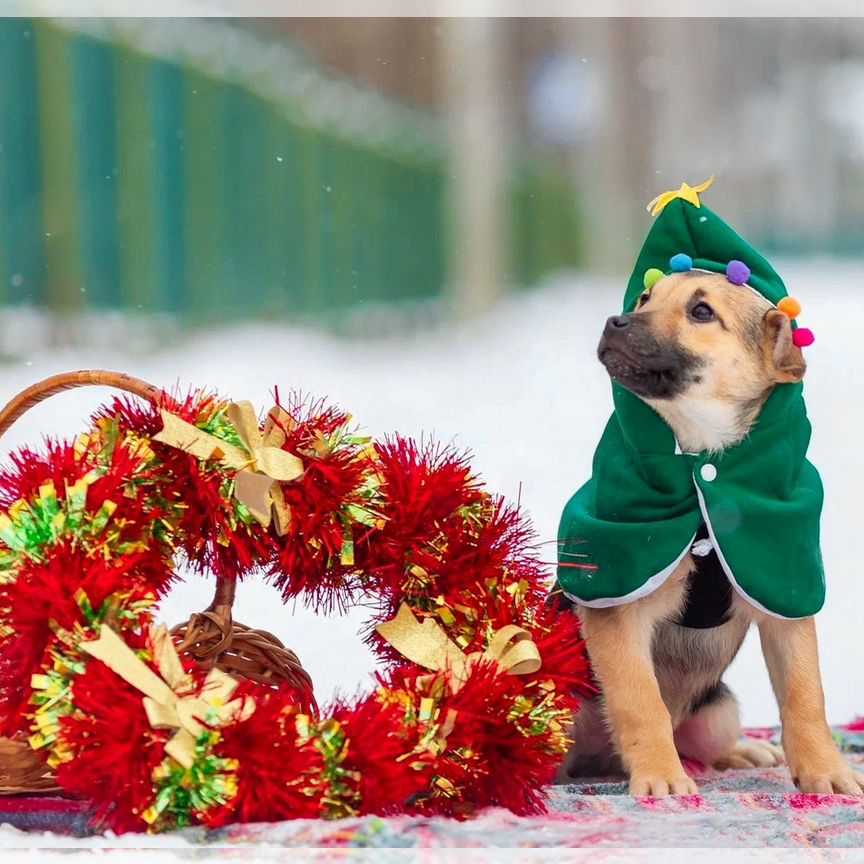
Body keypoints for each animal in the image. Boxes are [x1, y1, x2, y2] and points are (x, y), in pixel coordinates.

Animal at [556, 268, 860, 796]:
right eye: (645, 298)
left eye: (701, 311)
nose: (614, 322)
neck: (700, 459)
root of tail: (600, 763)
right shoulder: (619, 611)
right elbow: (641, 702)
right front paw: (660, 776)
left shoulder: (785, 599)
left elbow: (806, 696)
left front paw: (827, 770)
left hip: (719, 709)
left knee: (702, 742)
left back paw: (742, 752)